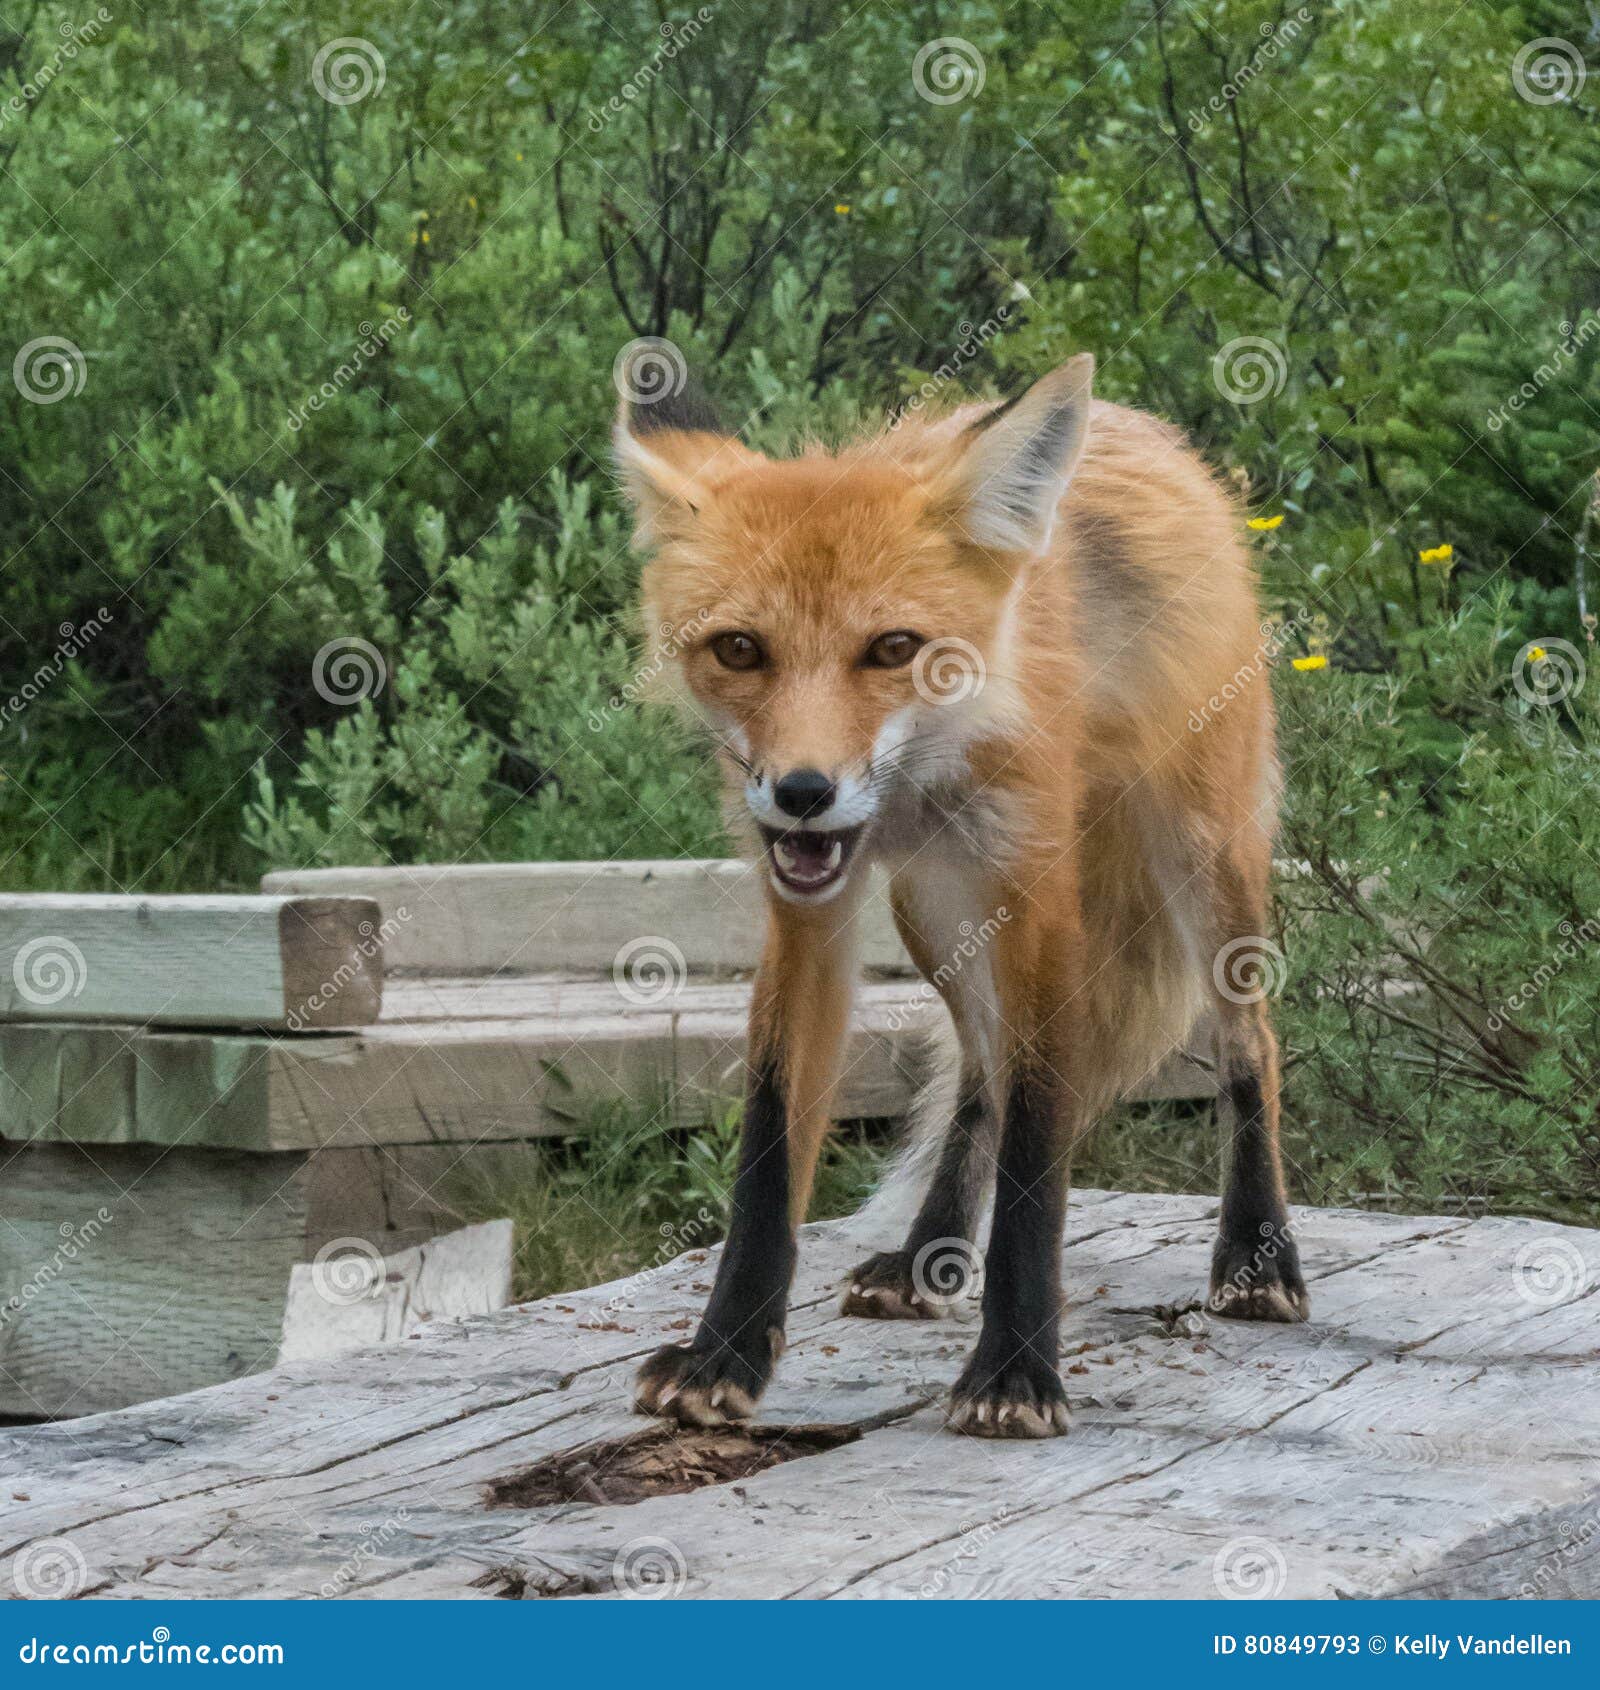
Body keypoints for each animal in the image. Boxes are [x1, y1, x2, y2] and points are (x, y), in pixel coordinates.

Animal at [614, 352, 1306, 1440]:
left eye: (894, 648)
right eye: (738, 649)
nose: (802, 792)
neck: (921, 785)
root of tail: (1149, 432)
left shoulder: (1040, 899)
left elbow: (1036, 1149)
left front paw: (1016, 1369)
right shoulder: (807, 911)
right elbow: (770, 1148)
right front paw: (724, 1352)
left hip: (1202, 865)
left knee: (1250, 1045)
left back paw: (1255, 1251)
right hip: (934, 915)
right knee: (978, 1067)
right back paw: (929, 1251)